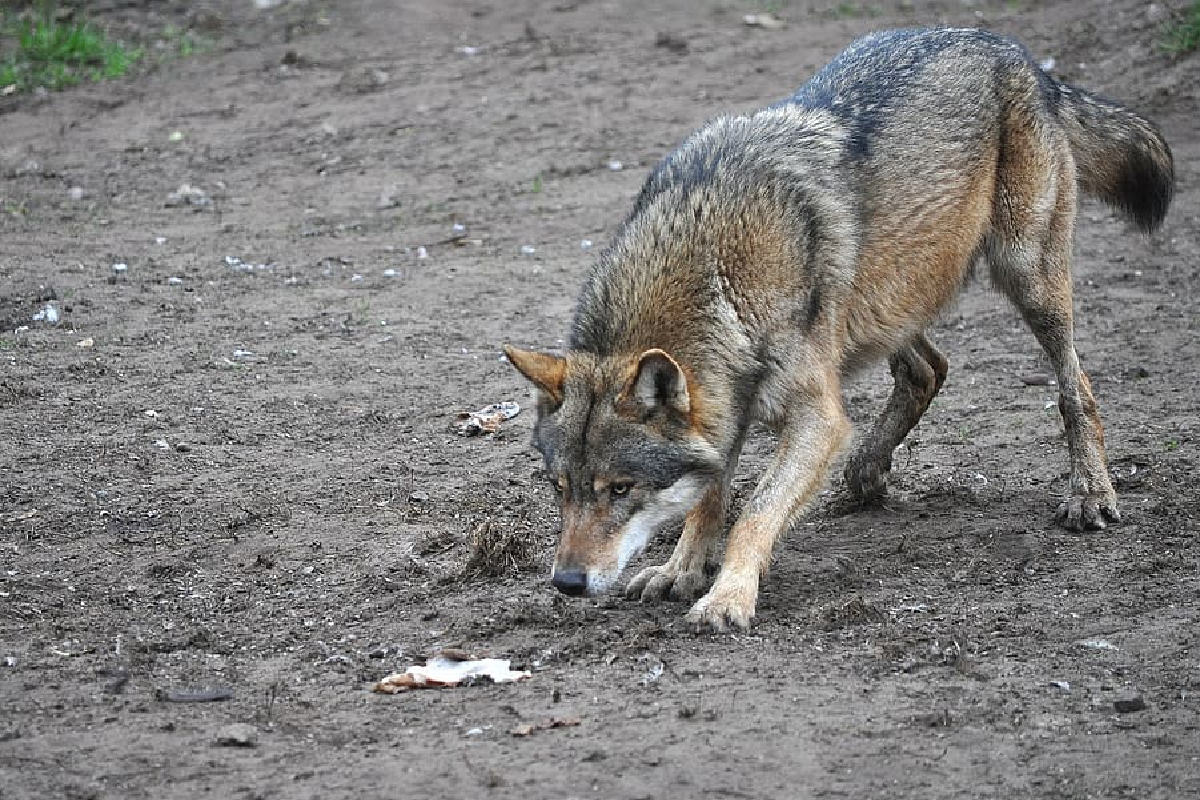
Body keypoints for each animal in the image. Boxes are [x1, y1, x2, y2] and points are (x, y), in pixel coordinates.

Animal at [504, 27, 1173, 630]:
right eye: (559, 488)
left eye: (620, 489)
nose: (566, 582)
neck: (716, 272)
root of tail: (1019, 55)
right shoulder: (731, 407)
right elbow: (710, 498)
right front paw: (682, 571)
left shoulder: (816, 418)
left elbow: (753, 513)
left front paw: (726, 598)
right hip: (886, 305)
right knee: (929, 370)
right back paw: (866, 473)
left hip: (1026, 278)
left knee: (1074, 385)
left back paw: (1090, 494)